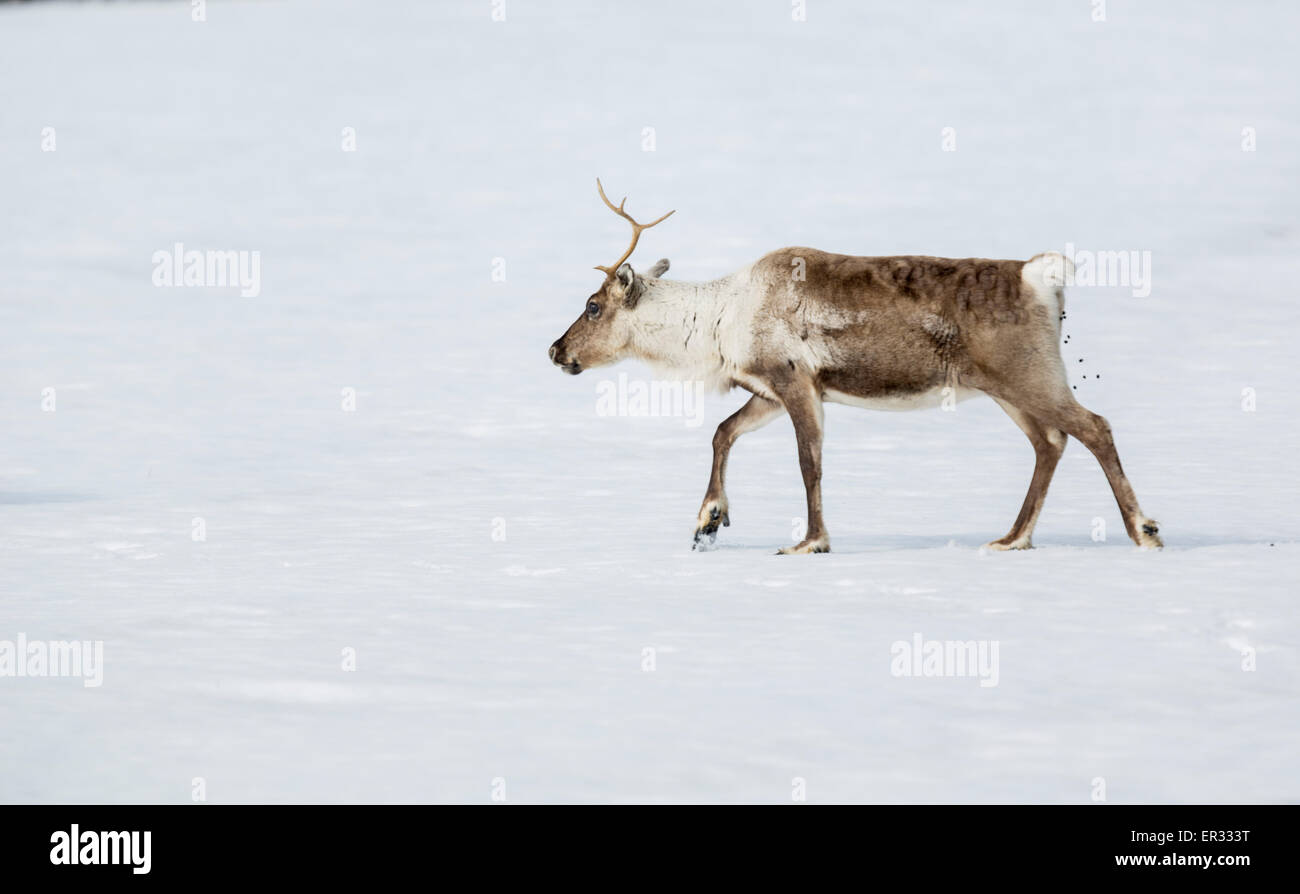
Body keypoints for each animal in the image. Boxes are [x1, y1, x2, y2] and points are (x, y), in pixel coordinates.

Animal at [548, 180, 1163, 555]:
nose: (555, 351)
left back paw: (1145, 530)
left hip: (1027, 374)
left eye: (593, 305)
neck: (720, 323)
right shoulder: (770, 389)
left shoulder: (794, 381)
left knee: (1093, 427)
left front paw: (809, 541)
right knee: (1051, 442)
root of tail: (1041, 276)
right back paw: (1012, 538)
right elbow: (722, 432)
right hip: (1008, 387)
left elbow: (809, 463)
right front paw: (708, 522)